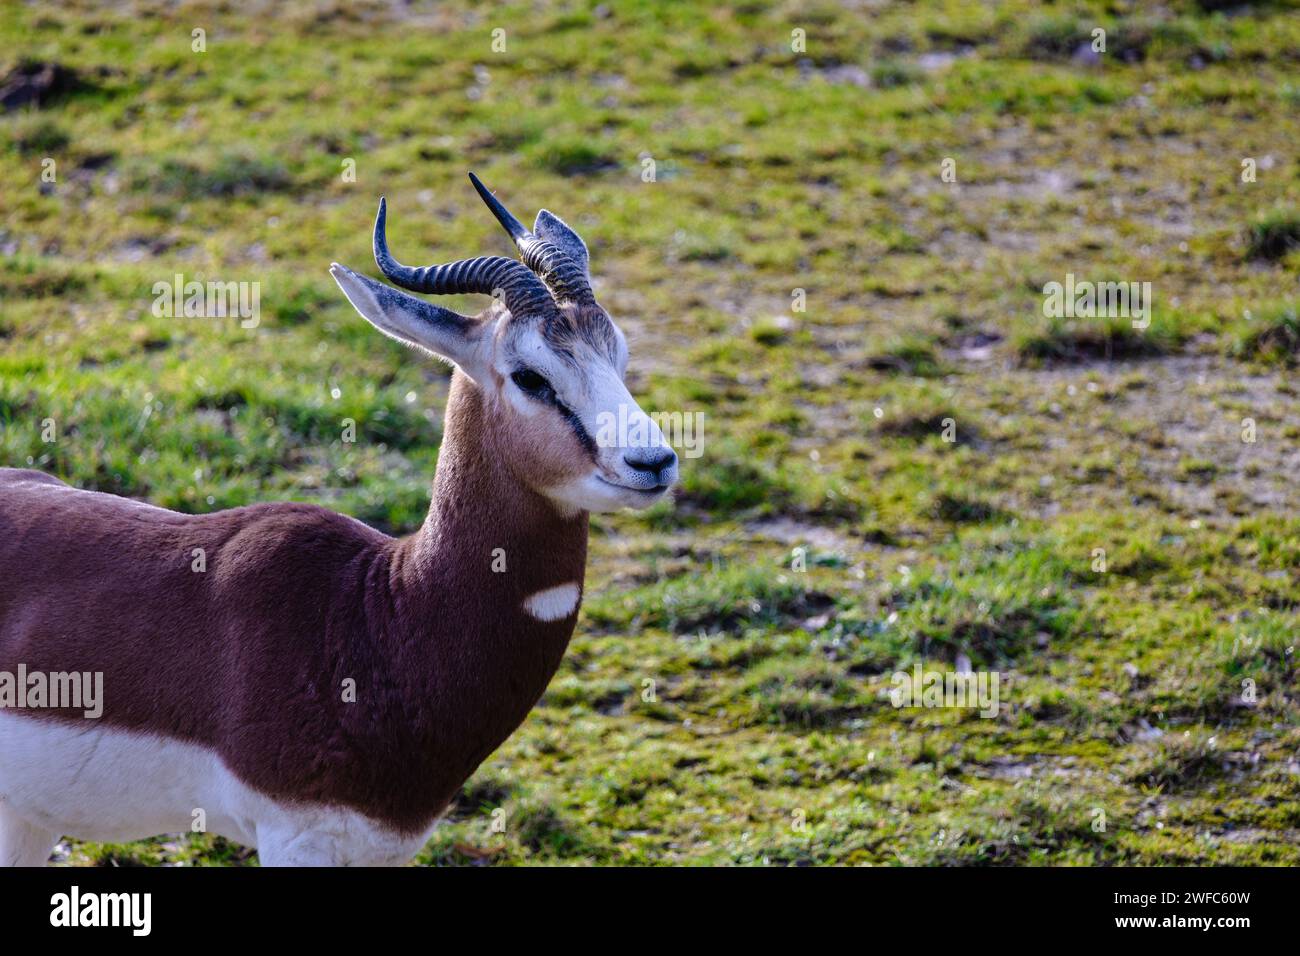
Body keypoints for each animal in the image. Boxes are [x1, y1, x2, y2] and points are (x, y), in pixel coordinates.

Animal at [0, 174, 678, 866]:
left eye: (619, 357)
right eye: (530, 376)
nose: (654, 462)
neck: (378, 613)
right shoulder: (296, 840)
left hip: (25, 818)